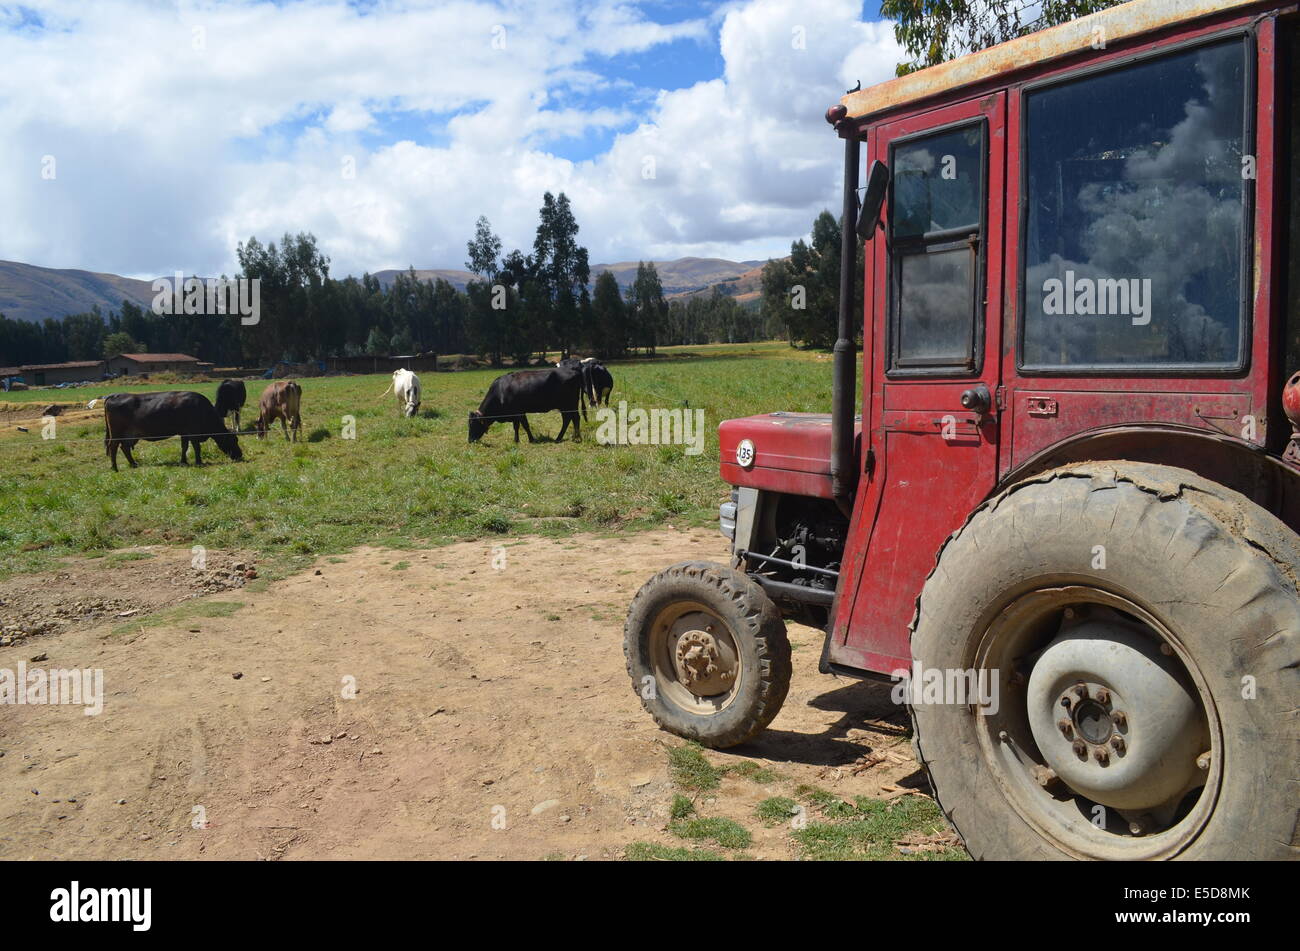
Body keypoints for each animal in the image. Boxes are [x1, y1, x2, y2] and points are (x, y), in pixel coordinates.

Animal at [103, 391, 242, 471]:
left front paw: (184, 462)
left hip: (129, 435)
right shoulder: (193, 432)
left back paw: (133, 464)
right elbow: (196, 447)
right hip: (116, 433)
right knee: (113, 447)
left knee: (124, 448)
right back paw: (114, 467)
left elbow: (184, 447)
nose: (240, 455)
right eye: (233, 440)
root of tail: (114, 395)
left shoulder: (184, 433)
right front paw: (199, 462)